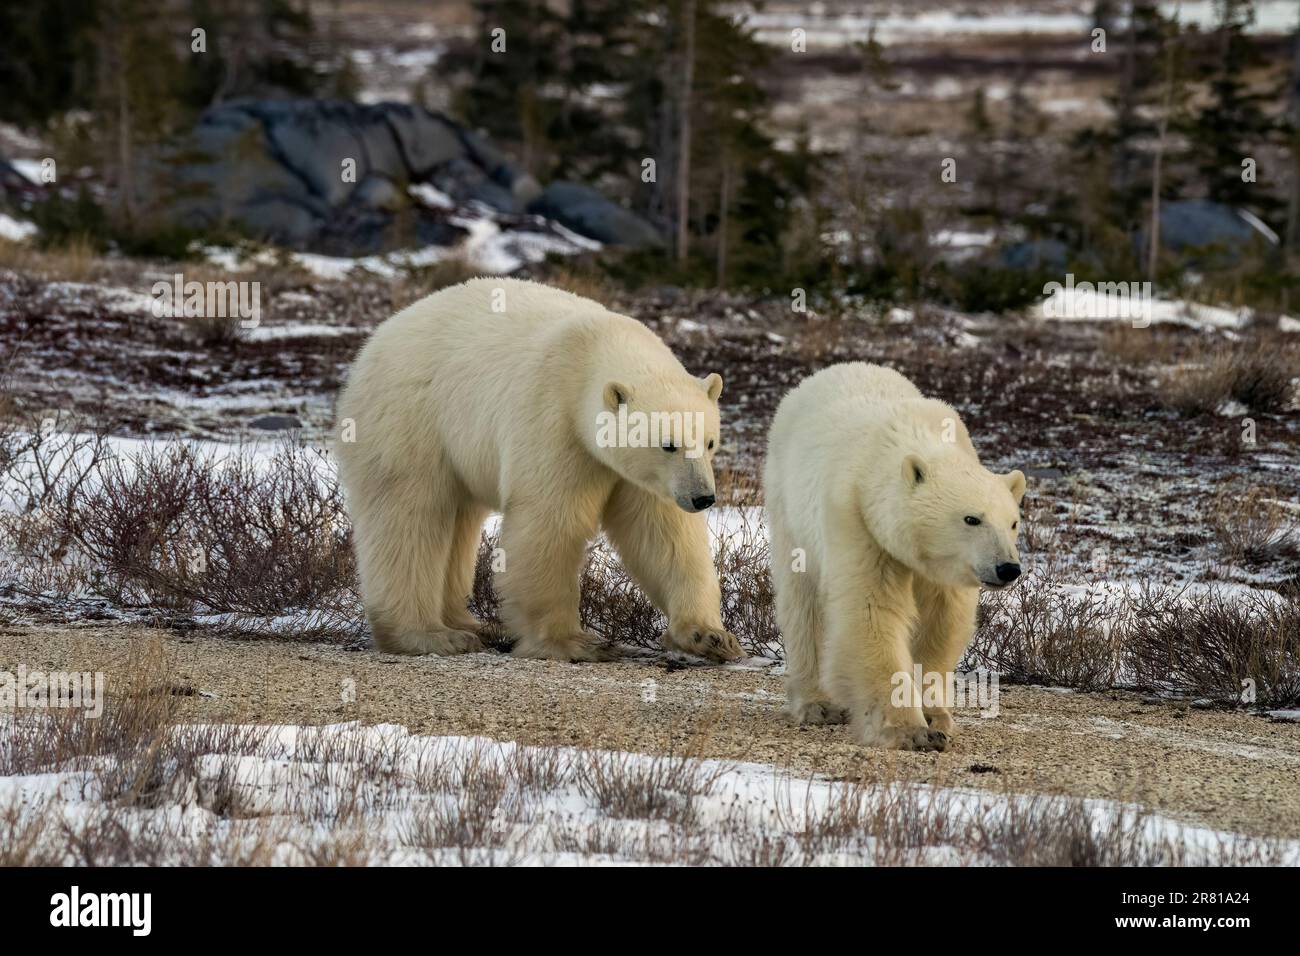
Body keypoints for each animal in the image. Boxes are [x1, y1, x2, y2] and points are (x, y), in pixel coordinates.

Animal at [334, 277, 743, 664]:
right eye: (668, 443)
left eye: (709, 442)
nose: (703, 498)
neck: (591, 347)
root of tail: (375, 340)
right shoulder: (553, 418)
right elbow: (550, 523)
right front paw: (573, 642)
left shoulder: (640, 476)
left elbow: (664, 535)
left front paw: (709, 636)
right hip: (411, 418)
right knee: (410, 515)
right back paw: (430, 635)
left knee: (459, 519)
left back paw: (474, 624)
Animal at [763, 362, 1025, 752]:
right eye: (972, 518)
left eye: (1013, 522)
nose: (1007, 568)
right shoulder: (857, 519)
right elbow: (872, 612)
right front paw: (911, 730)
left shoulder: (941, 567)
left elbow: (941, 621)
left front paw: (936, 715)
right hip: (788, 507)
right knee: (802, 603)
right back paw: (817, 704)